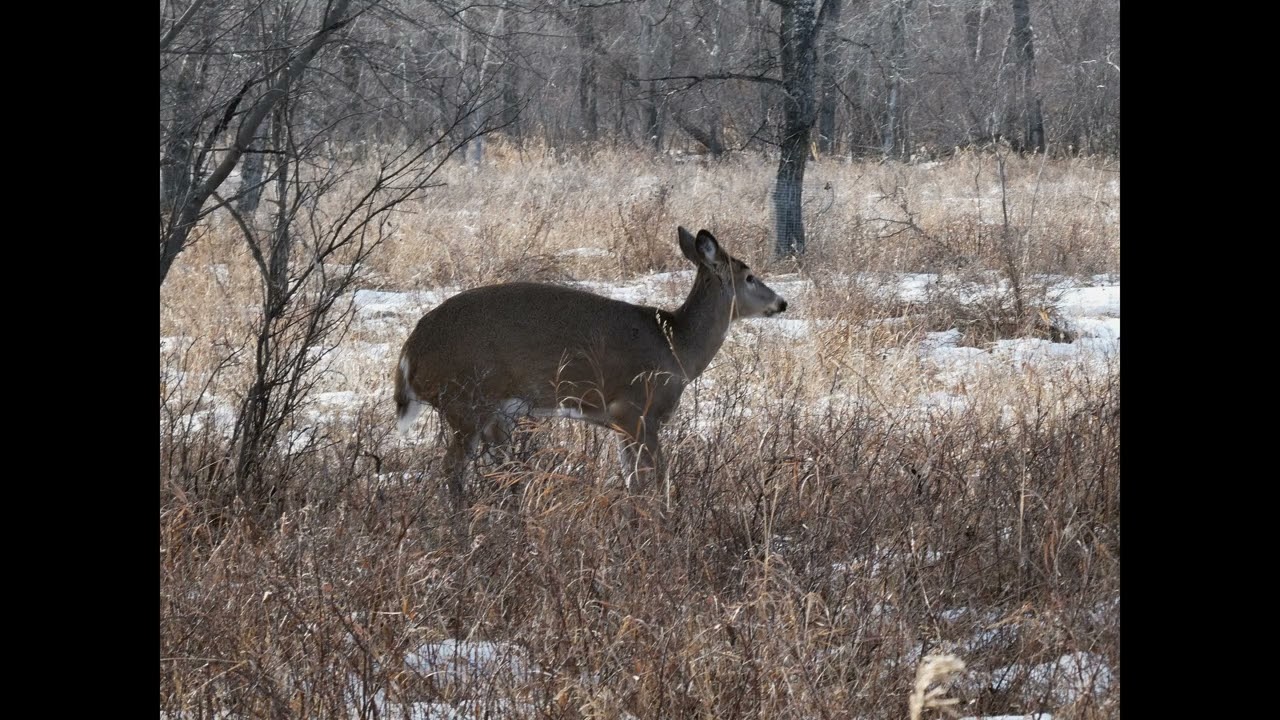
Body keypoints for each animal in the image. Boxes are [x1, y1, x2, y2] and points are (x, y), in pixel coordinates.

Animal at [394, 226, 788, 503]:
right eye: (749, 276)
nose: (781, 302)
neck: (677, 347)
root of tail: (411, 351)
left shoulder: (620, 422)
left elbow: (633, 480)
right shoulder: (638, 410)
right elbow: (655, 479)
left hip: (493, 415)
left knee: (496, 473)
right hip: (466, 401)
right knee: (451, 471)